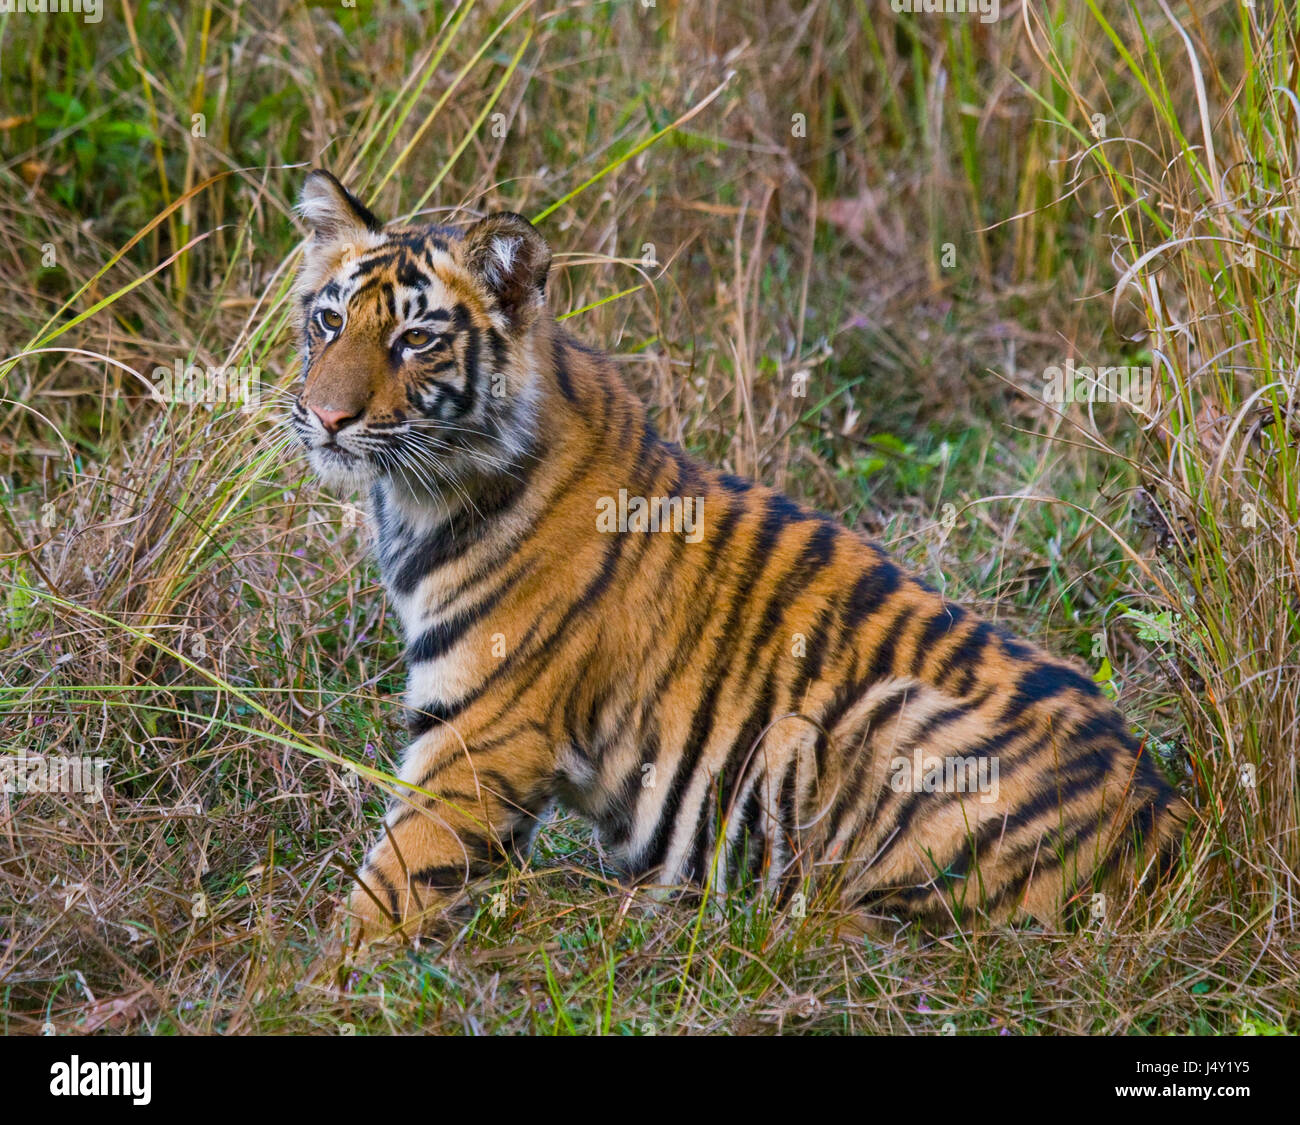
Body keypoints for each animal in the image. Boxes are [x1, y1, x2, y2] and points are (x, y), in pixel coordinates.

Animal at [288, 169, 1190, 944]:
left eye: (415, 340)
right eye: (329, 322)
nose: (325, 417)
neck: (420, 498)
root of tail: (1171, 830)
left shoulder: (480, 736)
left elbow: (389, 886)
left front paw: (323, 976)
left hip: (886, 724)